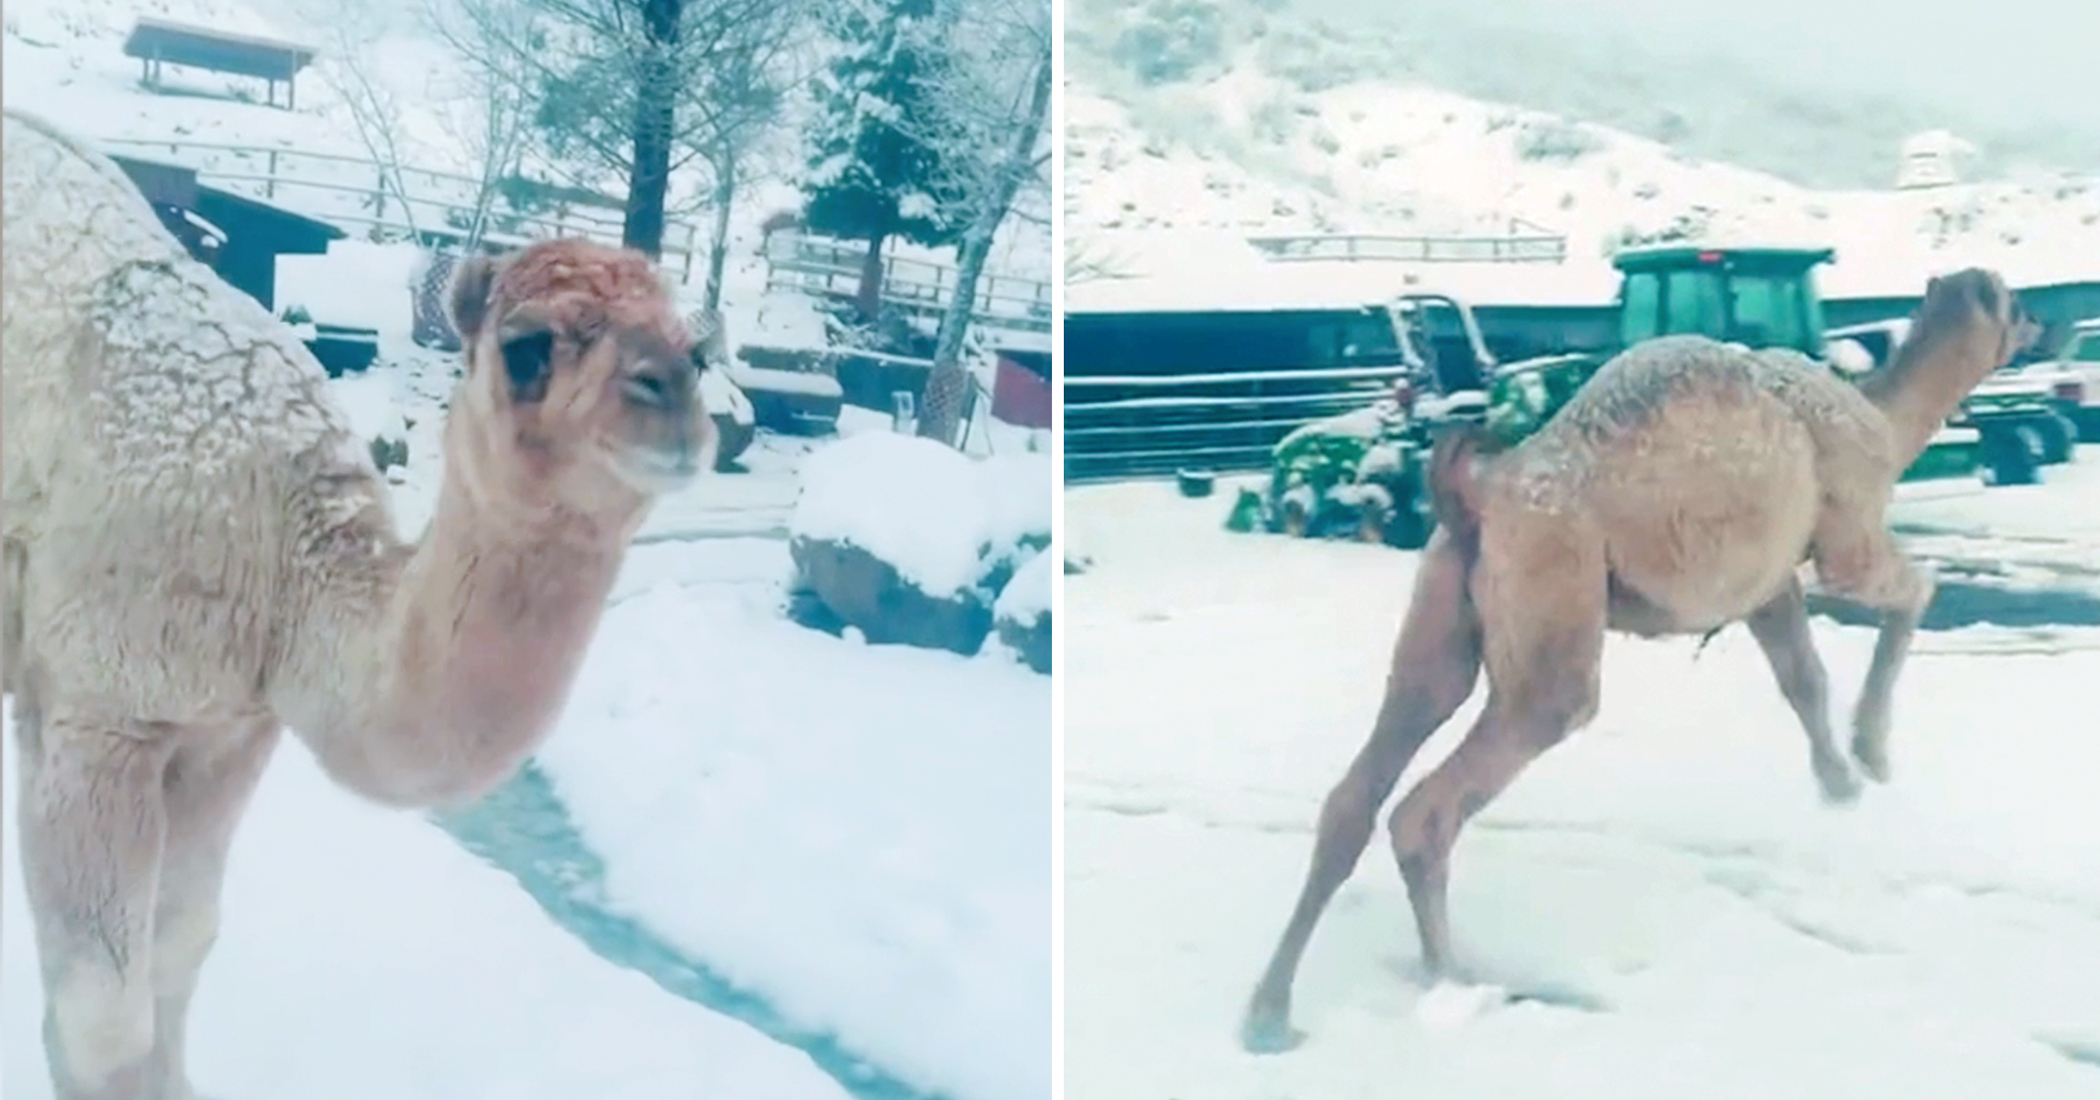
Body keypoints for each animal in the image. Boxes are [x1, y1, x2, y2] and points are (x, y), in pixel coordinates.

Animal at [2, 108, 711, 1099]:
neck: (285, 562)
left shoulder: (229, 725)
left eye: (699, 347)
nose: (672, 397)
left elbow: (180, 951)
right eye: (527, 345)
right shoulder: (97, 707)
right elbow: (101, 1018)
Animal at [1240, 268, 2032, 1054]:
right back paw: (1452, 984)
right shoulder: (1846, 531)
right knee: (1439, 801)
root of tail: (1479, 498)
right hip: (1553, 596)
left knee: (1368, 775)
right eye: (2015, 302)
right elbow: (1913, 594)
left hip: (1442, 614)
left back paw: (1269, 1013)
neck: (1883, 422)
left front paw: (1841, 789)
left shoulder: (1766, 580)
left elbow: (1802, 678)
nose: (2040, 328)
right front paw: (1873, 757)